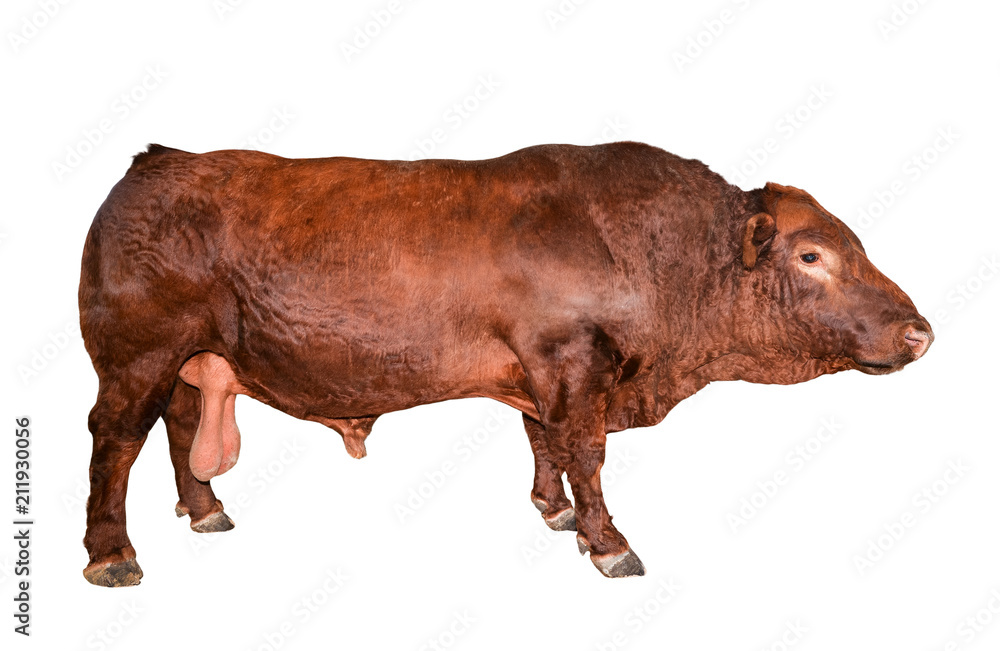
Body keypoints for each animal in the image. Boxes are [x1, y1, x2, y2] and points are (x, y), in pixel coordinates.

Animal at [78, 142, 932, 587]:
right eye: (812, 254)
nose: (921, 331)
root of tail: (158, 160)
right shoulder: (577, 363)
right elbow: (585, 451)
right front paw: (608, 541)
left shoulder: (543, 376)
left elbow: (544, 440)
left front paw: (554, 511)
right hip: (136, 355)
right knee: (116, 440)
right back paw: (112, 553)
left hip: (194, 357)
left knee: (181, 423)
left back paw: (205, 506)